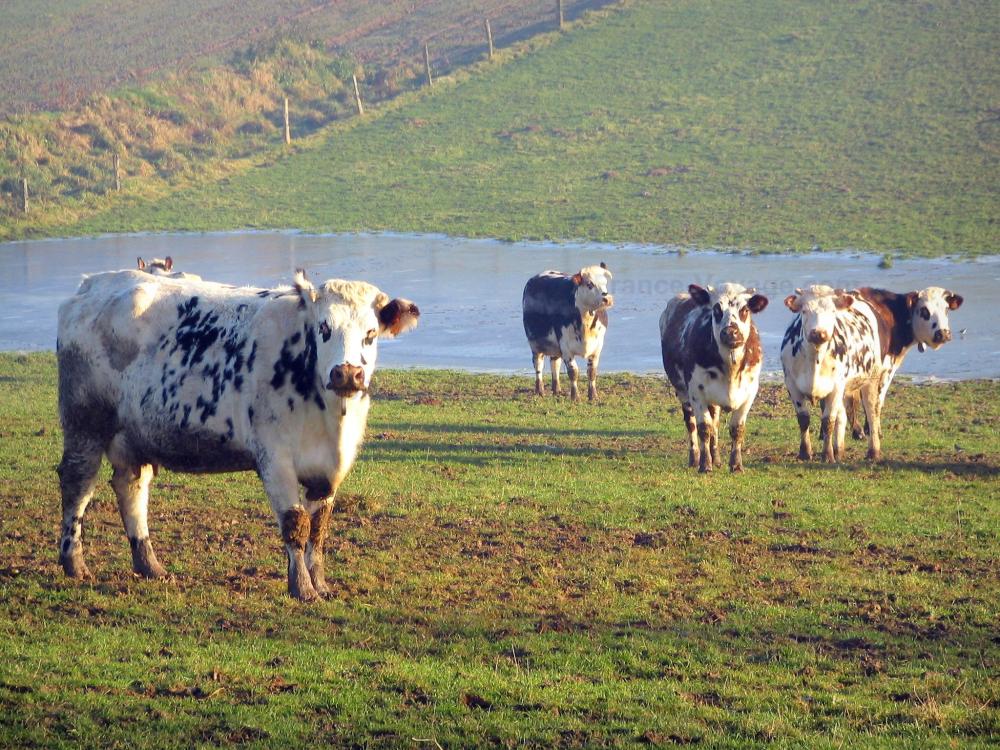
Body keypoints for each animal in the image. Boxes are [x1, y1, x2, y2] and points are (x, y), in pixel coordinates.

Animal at [56, 269, 419, 601]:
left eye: (371, 333)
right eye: (324, 328)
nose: (347, 373)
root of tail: (94, 283)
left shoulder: (329, 470)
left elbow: (318, 529)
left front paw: (321, 584)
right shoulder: (275, 459)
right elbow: (296, 524)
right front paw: (302, 588)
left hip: (134, 434)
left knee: (131, 489)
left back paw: (150, 566)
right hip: (84, 422)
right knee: (78, 483)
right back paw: (74, 563)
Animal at [522, 263, 613, 401]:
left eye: (605, 282)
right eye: (589, 284)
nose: (607, 298)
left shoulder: (597, 347)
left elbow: (592, 372)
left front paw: (593, 396)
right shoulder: (566, 346)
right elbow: (573, 372)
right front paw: (575, 397)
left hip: (554, 347)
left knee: (555, 364)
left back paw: (557, 390)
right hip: (535, 344)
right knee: (538, 366)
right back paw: (540, 391)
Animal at [659, 283, 768, 472]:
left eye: (745, 309)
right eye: (716, 309)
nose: (730, 332)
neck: (731, 368)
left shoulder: (750, 393)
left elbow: (737, 429)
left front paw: (736, 465)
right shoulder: (696, 392)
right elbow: (704, 428)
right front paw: (705, 465)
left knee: (715, 424)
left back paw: (716, 458)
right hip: (683, 393)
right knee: (692, 424)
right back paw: (695, 458)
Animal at [781, 285, 886, 463]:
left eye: (832, 311)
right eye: (804, 311)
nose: (818, 333)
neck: (814, 359)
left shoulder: (836, 386)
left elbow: (828, 421)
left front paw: (827, 455)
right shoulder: (792, 384)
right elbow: (803, 419)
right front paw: (805, 452)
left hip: (871, 378)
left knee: (872, 412)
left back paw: (873, 451)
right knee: (842, 416)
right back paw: (839, 450)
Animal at [842, 286, 964, 439]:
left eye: (946, 309)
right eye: (924, 310)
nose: (943, 333)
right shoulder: (886, 369)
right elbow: (875, 401)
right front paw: (872, 430)